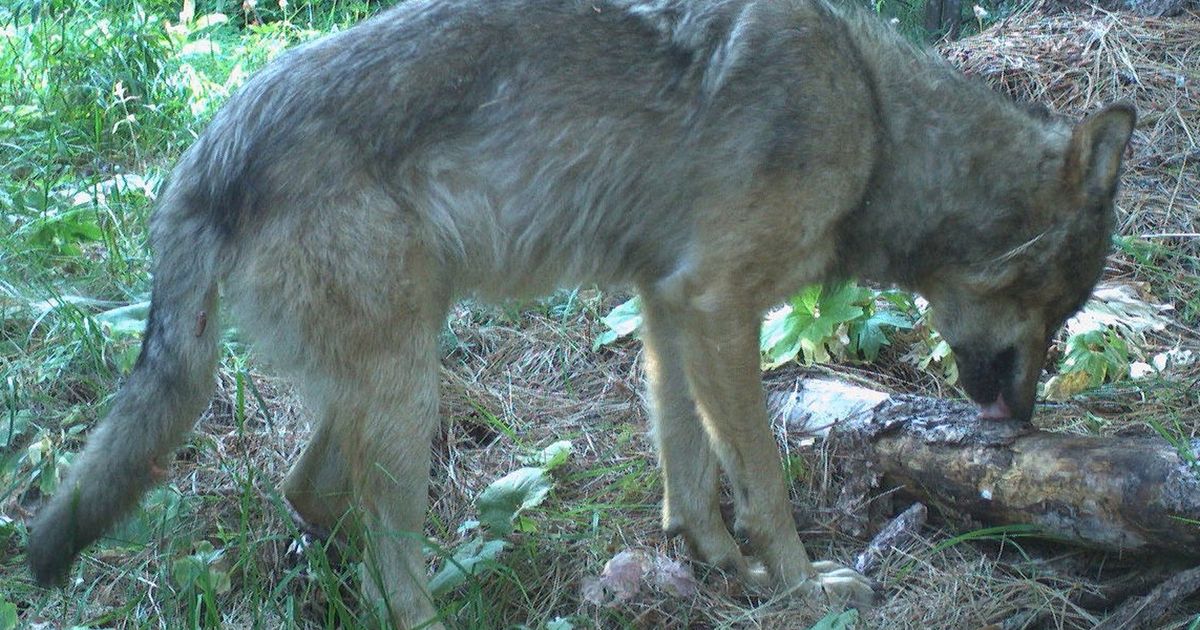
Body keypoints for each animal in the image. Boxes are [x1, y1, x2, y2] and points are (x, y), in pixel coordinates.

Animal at [27, 0, 1134, 626]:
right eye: (1058, 310)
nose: (1026, 424)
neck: (875, 120)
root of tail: (204, 151)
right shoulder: (717, 307)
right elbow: (764, 485)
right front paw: (798, 589)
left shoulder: (668, 307)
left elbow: (688, 466)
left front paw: (714, 564)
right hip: (409, 386)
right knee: (390, 576)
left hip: (388, 376)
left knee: (313, 497)